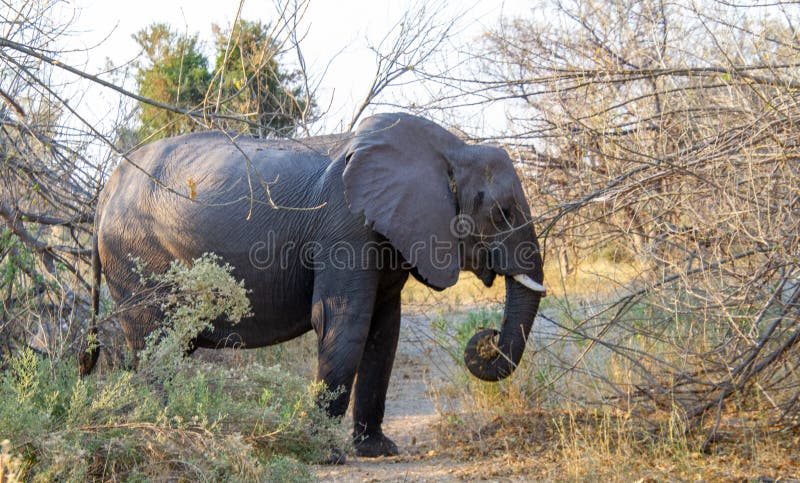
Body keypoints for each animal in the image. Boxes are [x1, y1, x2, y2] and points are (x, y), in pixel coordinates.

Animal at [80, 112, 545, 460]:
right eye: (502, 213)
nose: (487, 338)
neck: (450, 148)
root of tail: (105, 191)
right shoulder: (347, 225)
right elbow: (344, 320)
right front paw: (325, 453)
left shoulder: (388, 232)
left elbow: (384, 330)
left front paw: (378, 450)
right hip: (135, 256)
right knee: (155, 344)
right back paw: (169, 427)